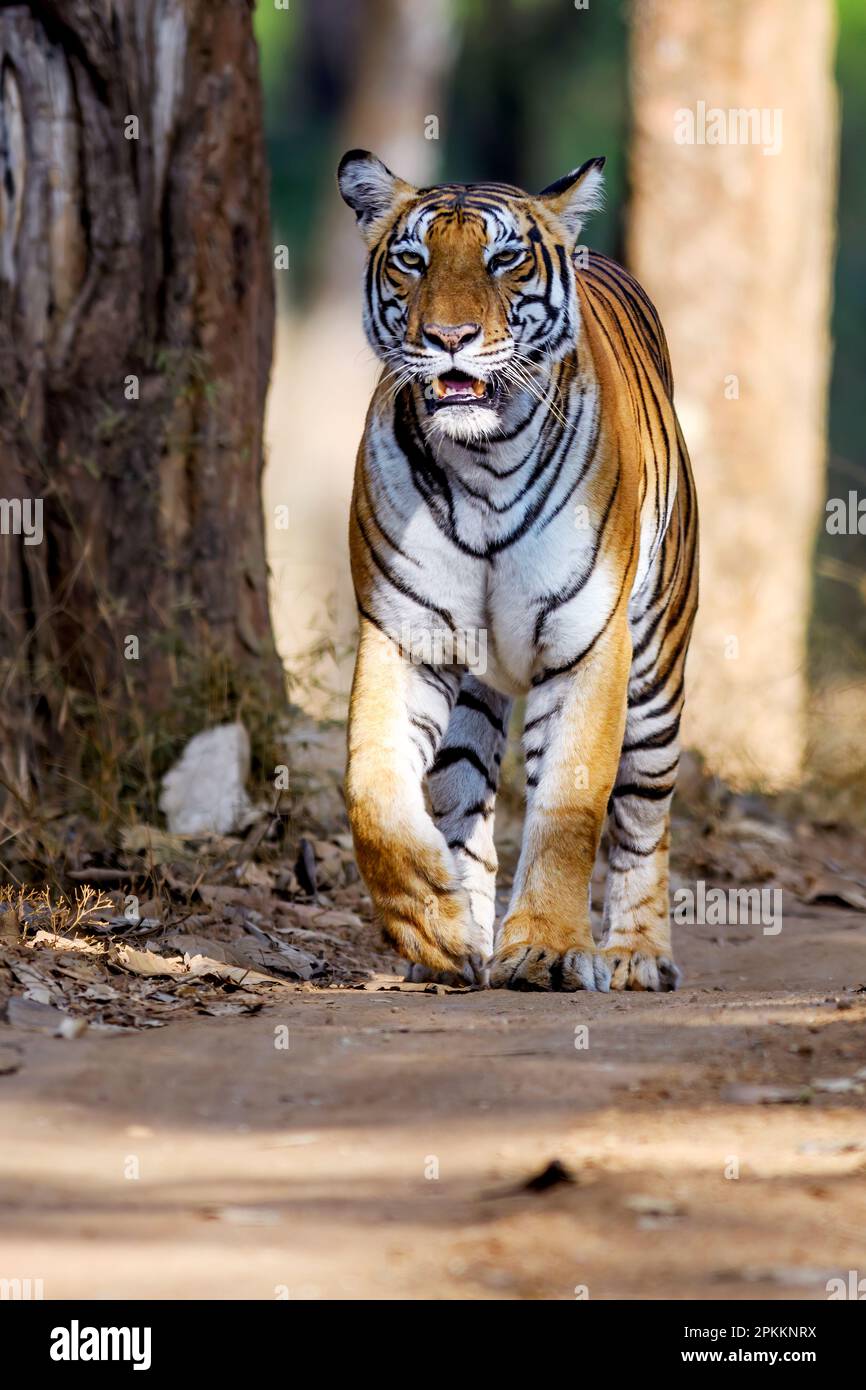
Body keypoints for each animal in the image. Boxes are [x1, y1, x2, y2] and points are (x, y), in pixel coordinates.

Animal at [337, 148, 698, 992]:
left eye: (504, 260)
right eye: (413, 260)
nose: (449, 336)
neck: (482, 463)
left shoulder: (586, 643)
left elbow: (569, 807)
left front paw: (548, 949)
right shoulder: (405, 635)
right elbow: (373, 789)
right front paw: (431, 922)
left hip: (657, 672)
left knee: (643, 819)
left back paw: (636, 955)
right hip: (473, 690)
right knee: (460, 797)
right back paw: (461, 941)